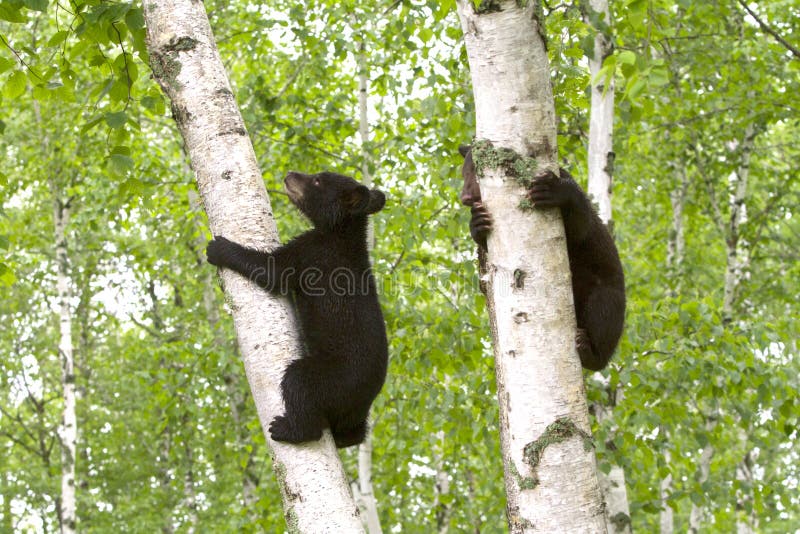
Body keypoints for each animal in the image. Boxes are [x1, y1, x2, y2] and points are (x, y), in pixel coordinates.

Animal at [206, 170, 388, 448]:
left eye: (318, 180)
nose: (290, 174)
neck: (339, 233)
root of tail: (362, 405)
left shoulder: (312, 253)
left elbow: (273, 270)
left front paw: (219, 248)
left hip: (335, 377)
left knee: (298, 382)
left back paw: (288, 429)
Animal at [459, 144, 625, 371]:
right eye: (463, 173)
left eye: (475, 174)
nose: (465, 197)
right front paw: (477, 223)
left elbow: (580, 227)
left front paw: (553, 190)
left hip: (608, 290)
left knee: (603, 312)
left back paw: (590, 351)